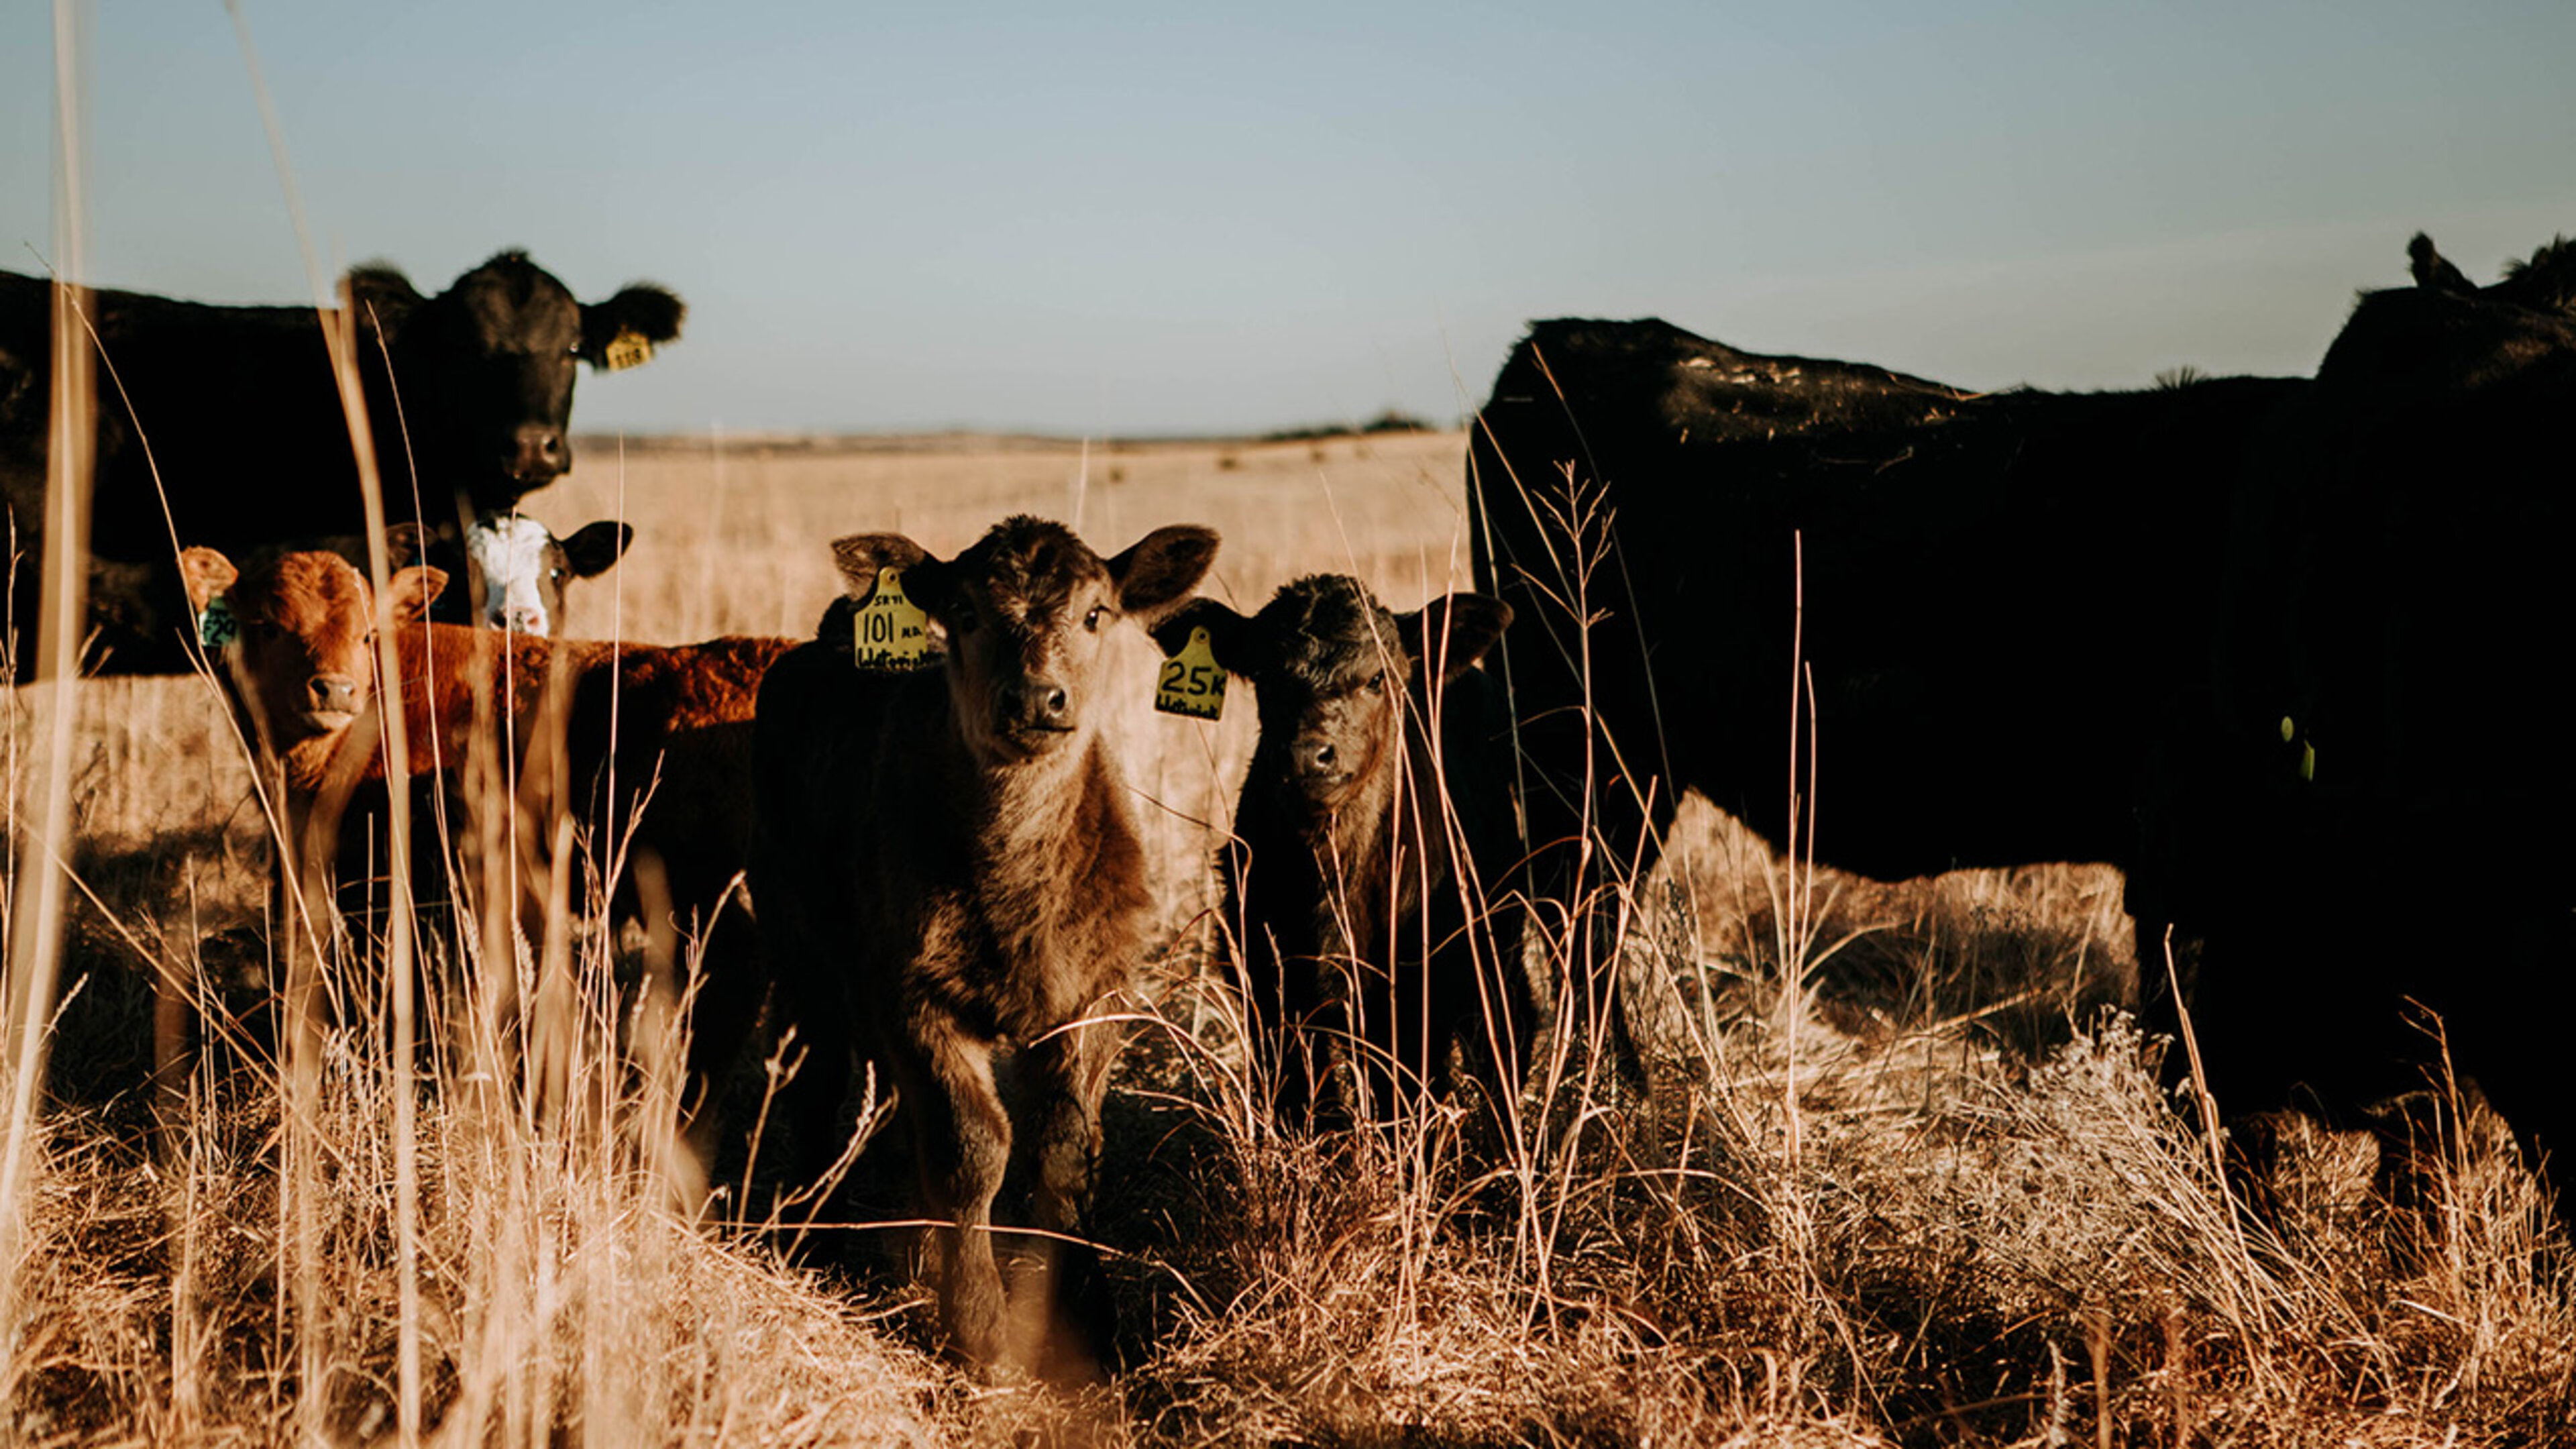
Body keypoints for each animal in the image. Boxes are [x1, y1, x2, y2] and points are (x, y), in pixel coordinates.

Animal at [750, 515, 1219, 1375]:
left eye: (1096, 614)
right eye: (964, 614)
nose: (1035, 696)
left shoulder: (1096, 997)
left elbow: (1067, 1150)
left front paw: (1084, 1318)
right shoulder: (915, 998)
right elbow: (972, 1149)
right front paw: (979, 1327)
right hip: (797, 947)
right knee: (815, 1078)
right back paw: (814, 1237)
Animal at [1151, 576, 1534, 1134]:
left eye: (1377, 678)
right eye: (1265, 675)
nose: (1309, 755)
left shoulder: (1413, 998)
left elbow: (1407, 1100)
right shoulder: (1265, 982)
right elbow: (1303, 1101)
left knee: (1507, 1037)